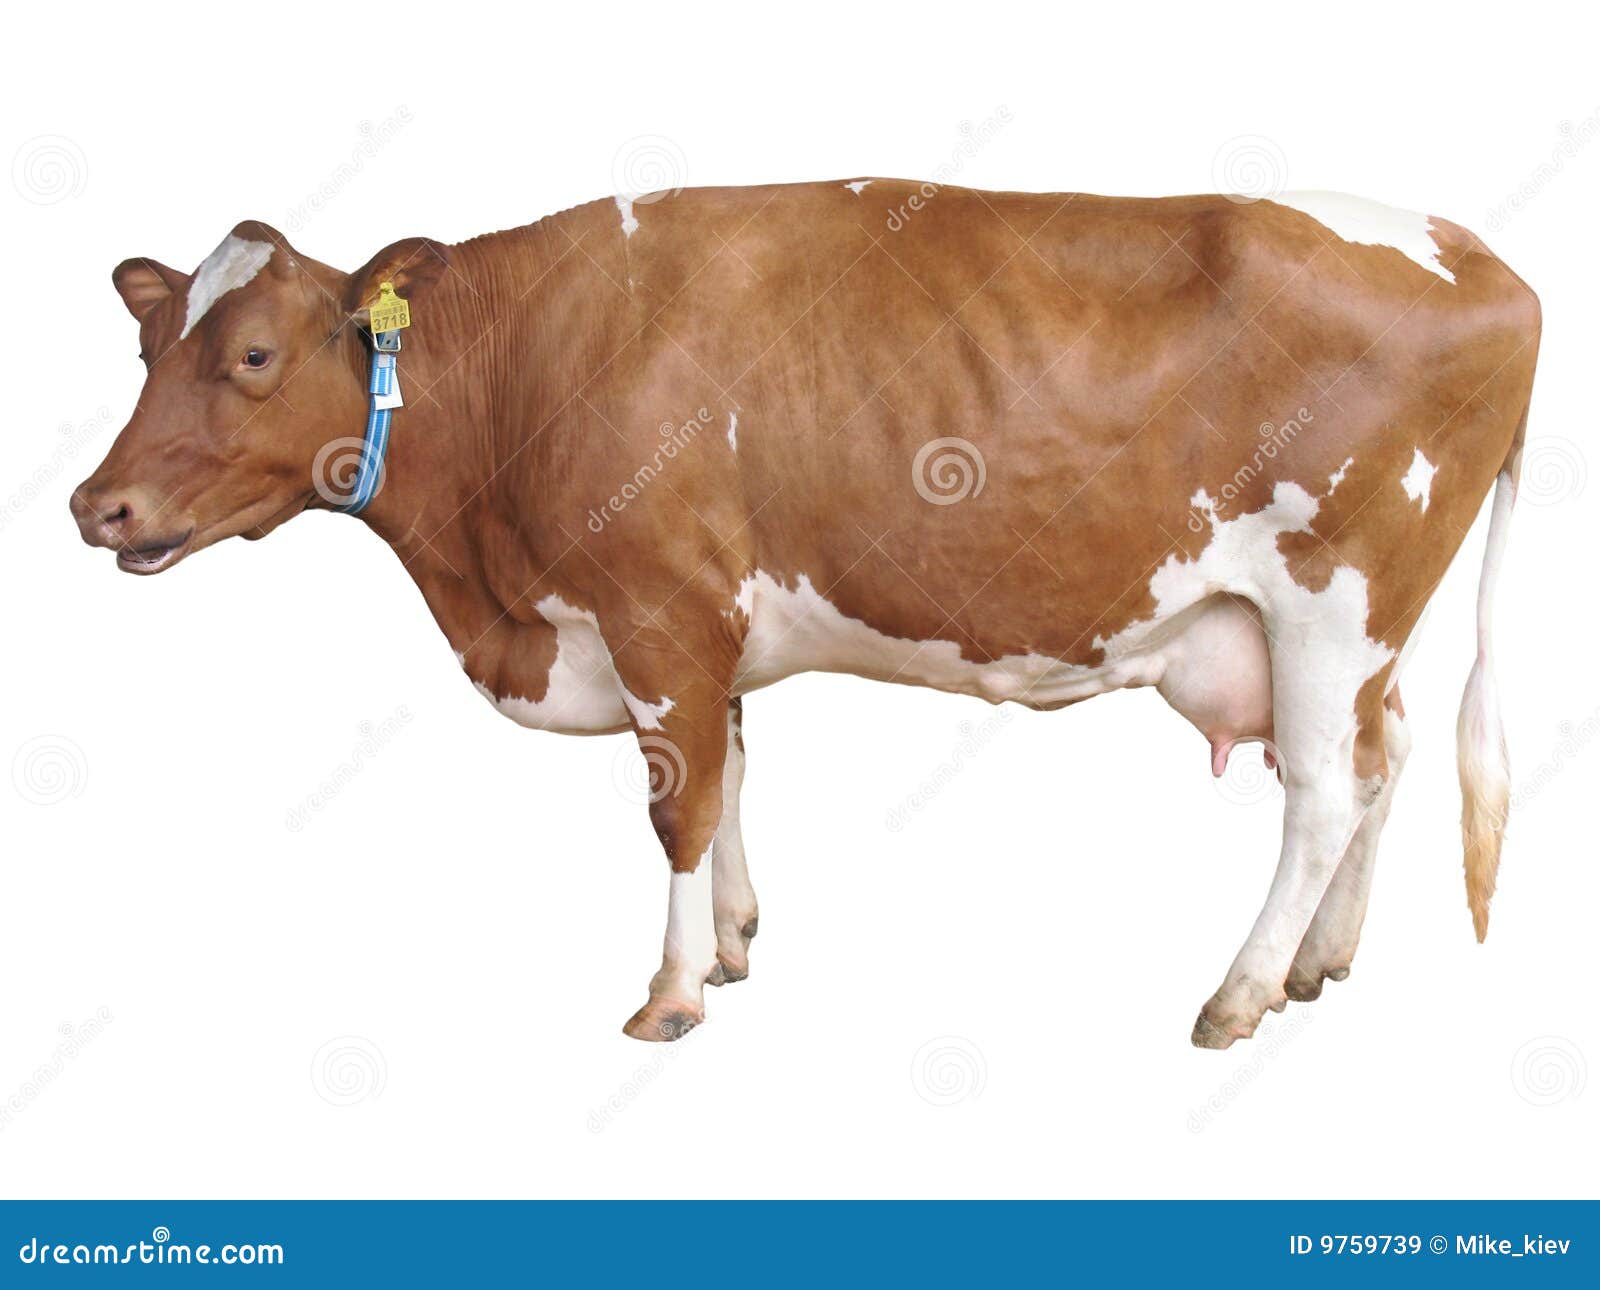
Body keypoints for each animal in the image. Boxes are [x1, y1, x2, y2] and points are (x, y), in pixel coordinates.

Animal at [71, 181, 1539, 1047]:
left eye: (253, 353)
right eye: (145, 349)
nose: (99, 506)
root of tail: (1484, 259)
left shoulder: (657, 606)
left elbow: (675, 804)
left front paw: (668, 994)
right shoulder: (701, 631)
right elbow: (725, 775)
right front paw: (729, 943)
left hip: (1332, 599)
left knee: (1325, 795)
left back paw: (1238, 993)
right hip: (1363, 629)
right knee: (1385, 757)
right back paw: (1319, 964)